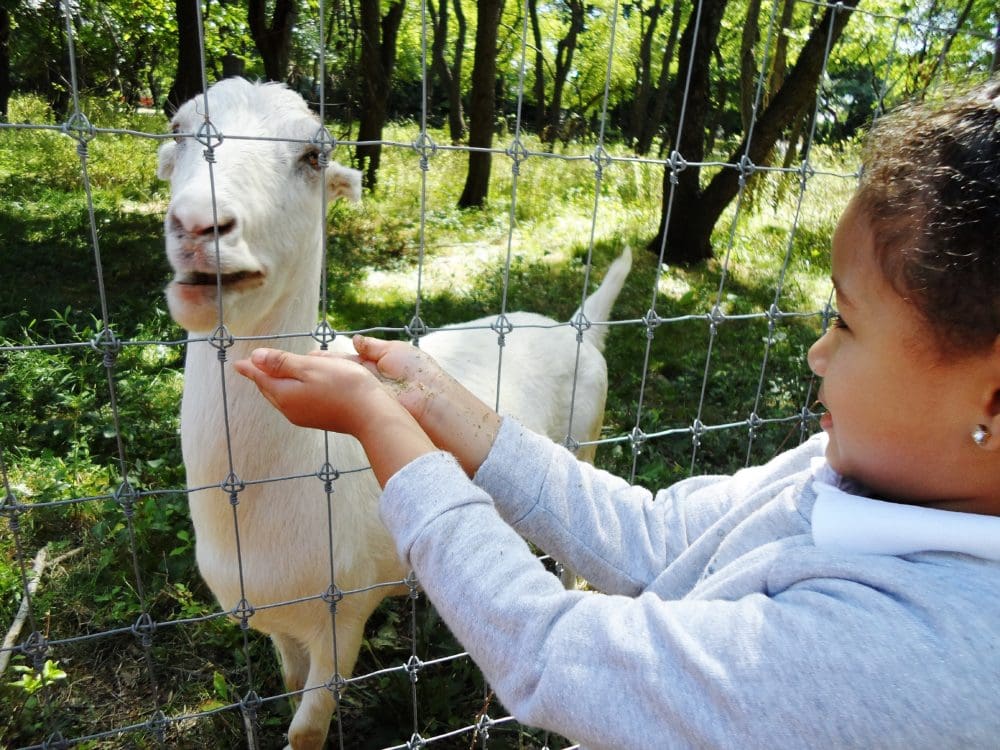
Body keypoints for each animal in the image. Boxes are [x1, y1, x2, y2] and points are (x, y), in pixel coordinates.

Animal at [157, 77, 630, 750]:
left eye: (313, 156)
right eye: (177, 131)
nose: (199, 225)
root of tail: (574, 327)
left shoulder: (344, 613)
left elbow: (307, 728)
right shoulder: (281, 620)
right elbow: (287, 687)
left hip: (586, 437)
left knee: (571, 567)